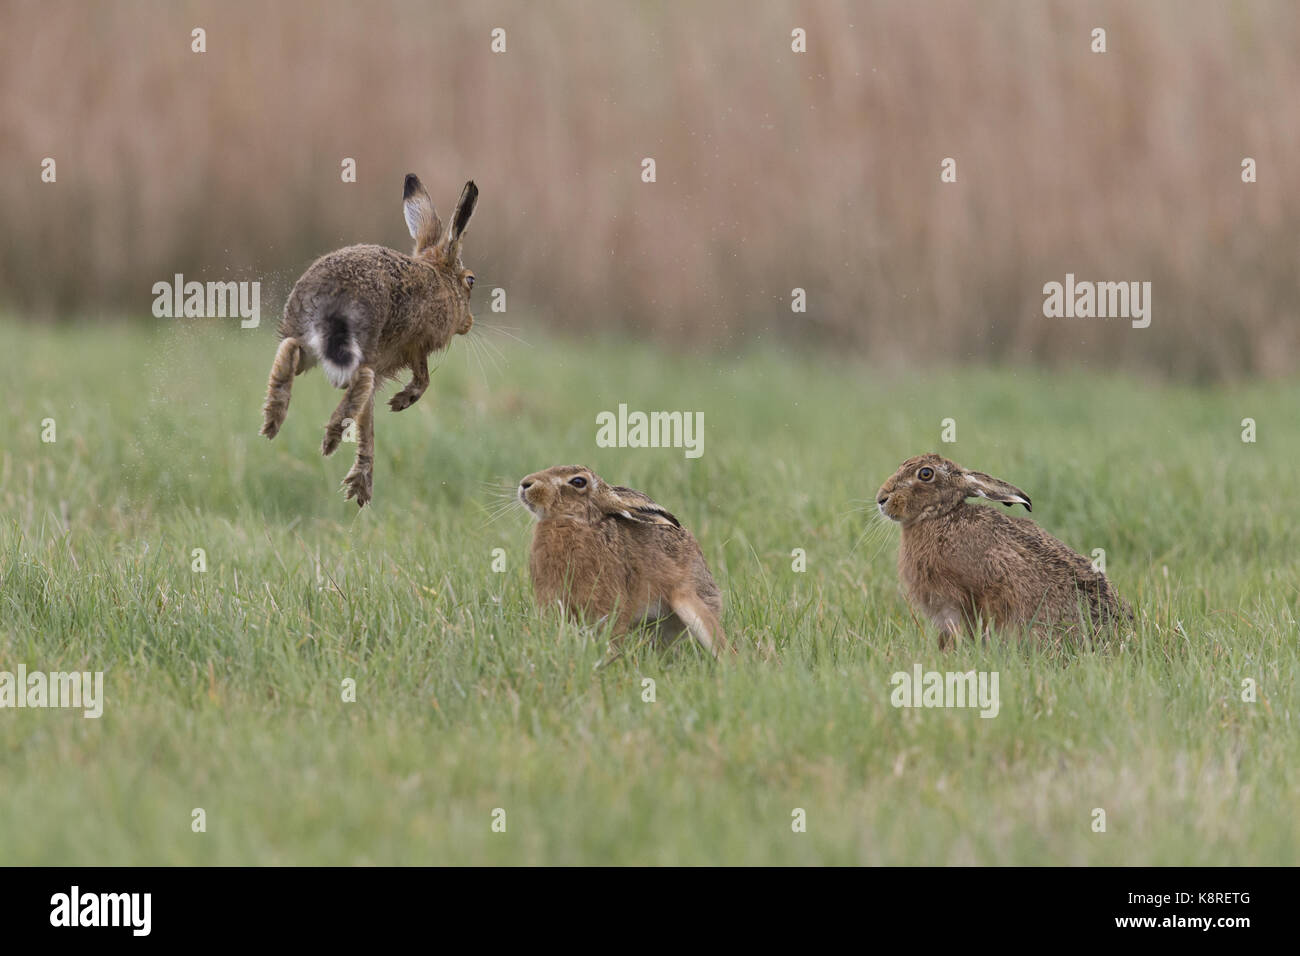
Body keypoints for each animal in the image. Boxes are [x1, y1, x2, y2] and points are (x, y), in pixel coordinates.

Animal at [259, 174, 479, 507]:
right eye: (470, 280)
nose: (468, 323)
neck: (438, 278)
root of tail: (332, 298)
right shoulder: (416, 345)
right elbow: (421, 379)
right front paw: (402, 401)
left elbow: (367, 421)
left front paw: (361, 480)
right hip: (363, 348)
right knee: (361, 379)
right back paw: (331, 438)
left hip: (304, 336)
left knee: (290, 349)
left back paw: (274, 417)